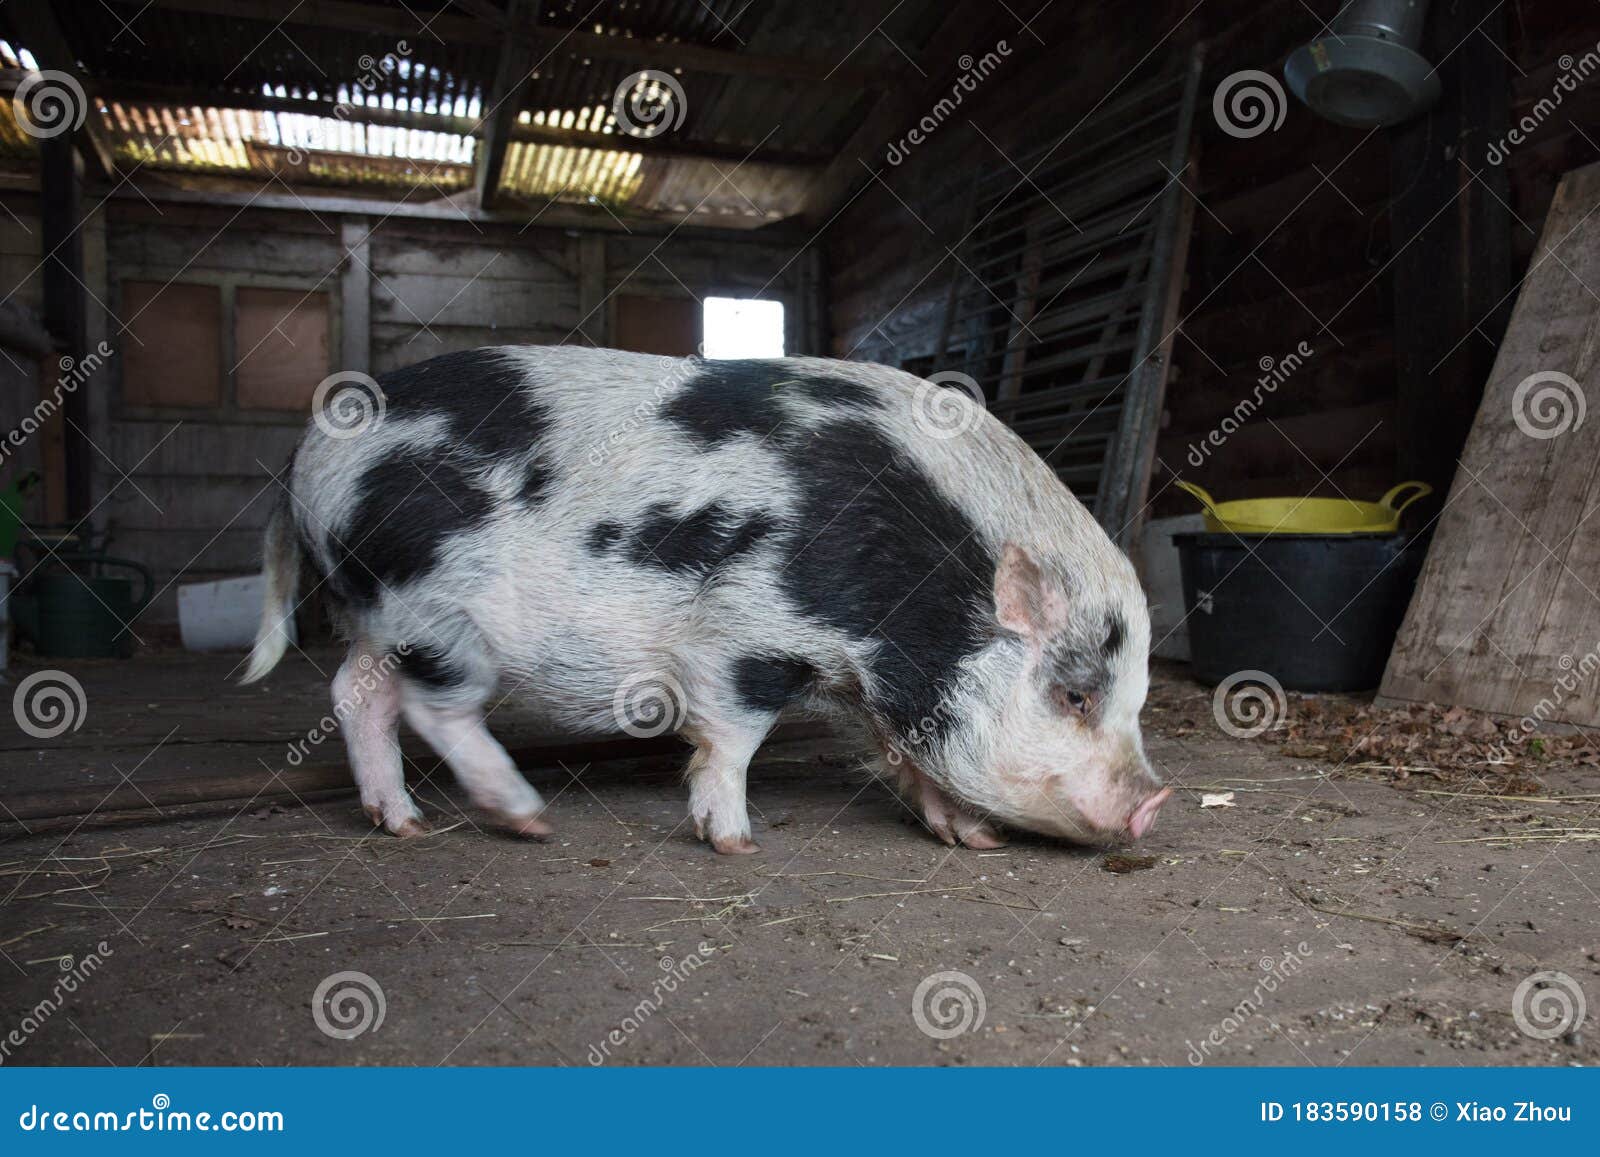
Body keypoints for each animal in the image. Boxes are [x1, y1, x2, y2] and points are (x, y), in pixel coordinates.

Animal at [243, 346, 1170, 853]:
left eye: (1135, 698)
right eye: (1075, 694)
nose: (1155, 803)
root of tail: (304, 451)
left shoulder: (870, 675)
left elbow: (903, 749)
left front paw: (970, 836)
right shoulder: (745, 629)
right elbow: (733, 735)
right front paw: (733, 841)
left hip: (384, 616)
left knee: (356, 692)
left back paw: (401, 823)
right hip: (434, 610)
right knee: (435, 709)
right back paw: (528, 819)